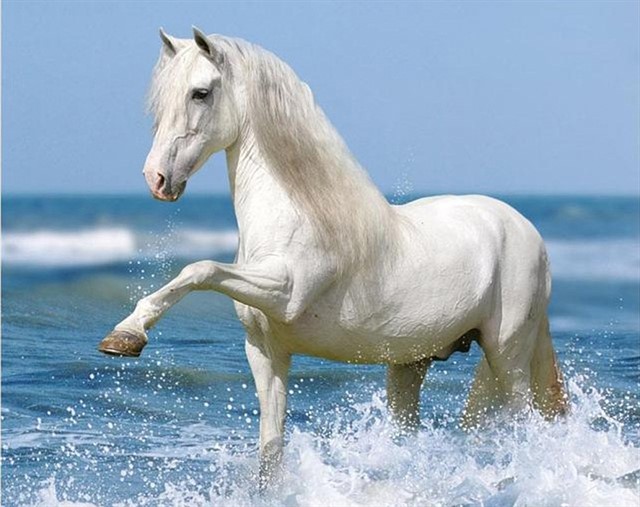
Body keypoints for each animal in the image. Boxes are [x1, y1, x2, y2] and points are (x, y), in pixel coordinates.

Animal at [99, 27, 567, 488]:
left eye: (200, 93)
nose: (157, 179)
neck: (295, 210)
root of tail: (528, 232)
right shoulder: (265, 351)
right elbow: (271, 448)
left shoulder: (284, 292)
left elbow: (200, 269)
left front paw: (127, 335)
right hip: (410, 363)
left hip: (506, 355)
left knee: (525, 426)